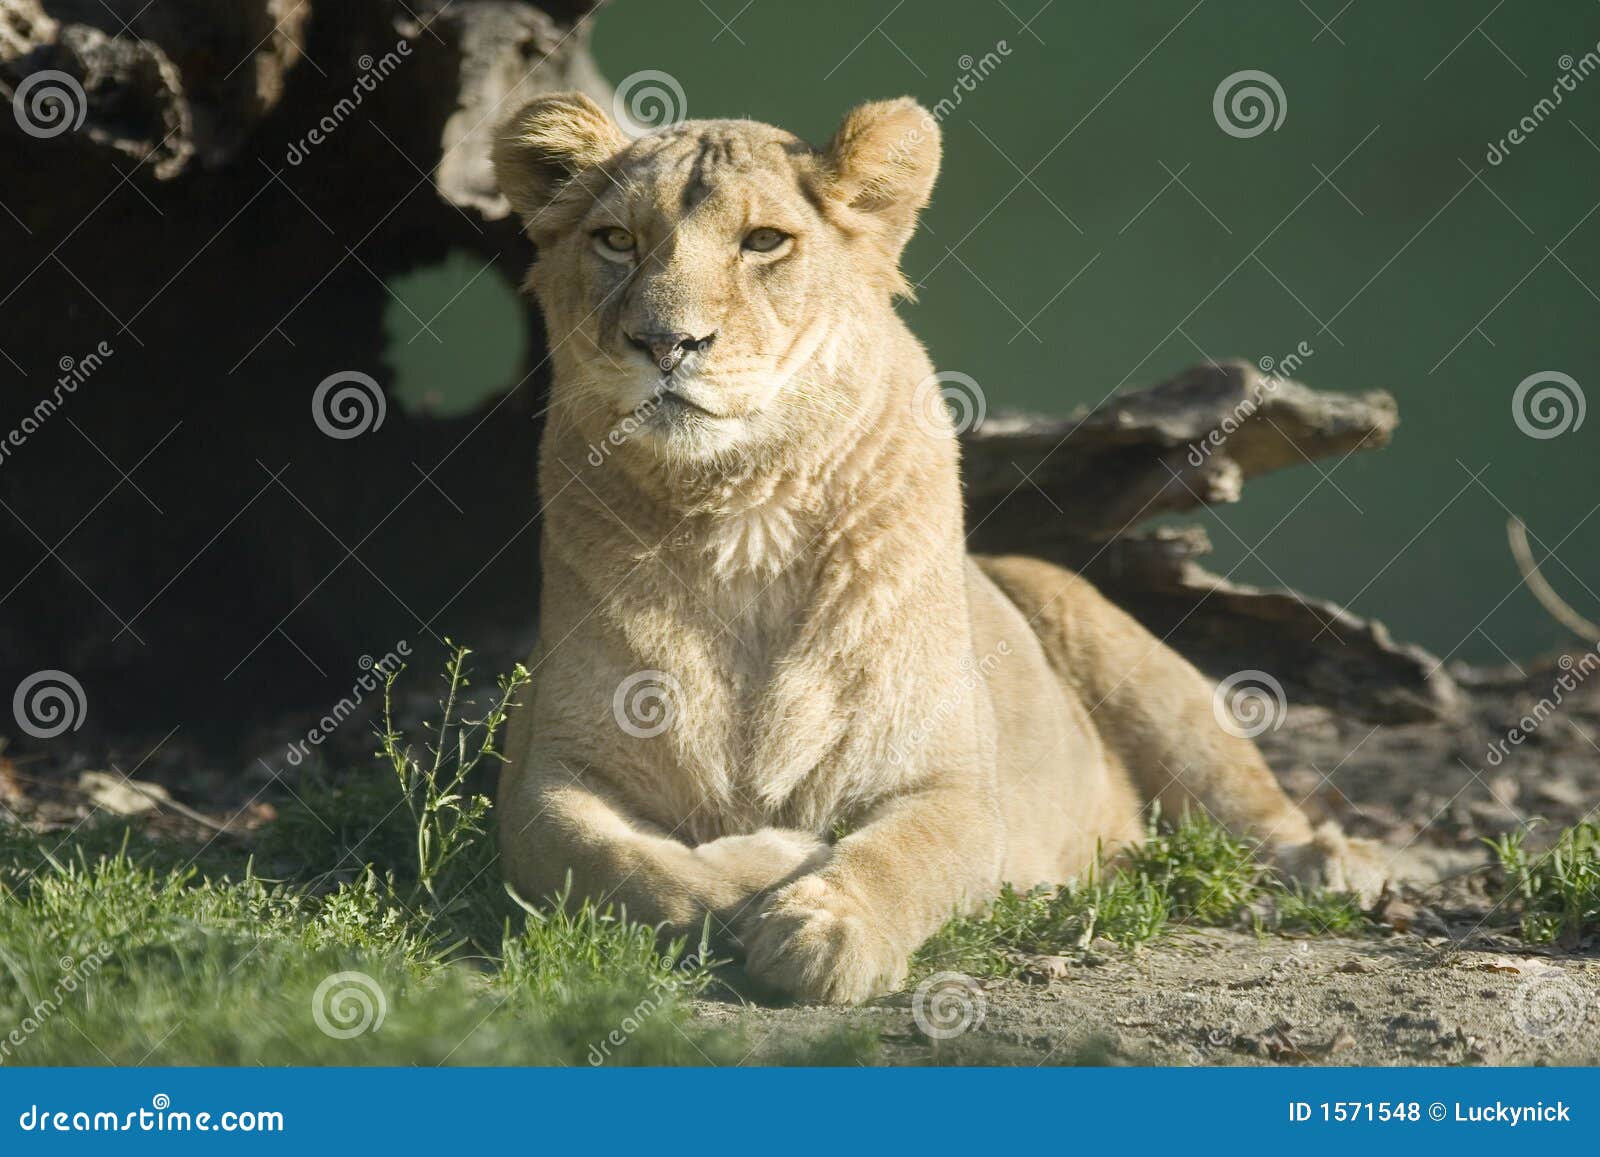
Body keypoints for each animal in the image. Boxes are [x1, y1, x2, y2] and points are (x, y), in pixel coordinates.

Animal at [491, 93, 1386, 1004]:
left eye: (765, 241)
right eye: (616, 240)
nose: (666, 342)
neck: (742, 520)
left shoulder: (957, 784)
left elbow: (903, 856)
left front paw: (830, 925)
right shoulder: (545, 773)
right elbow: (610, 863)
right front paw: (767, 863)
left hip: (1121, 653)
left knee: (1244, 797)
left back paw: (1335, 864)